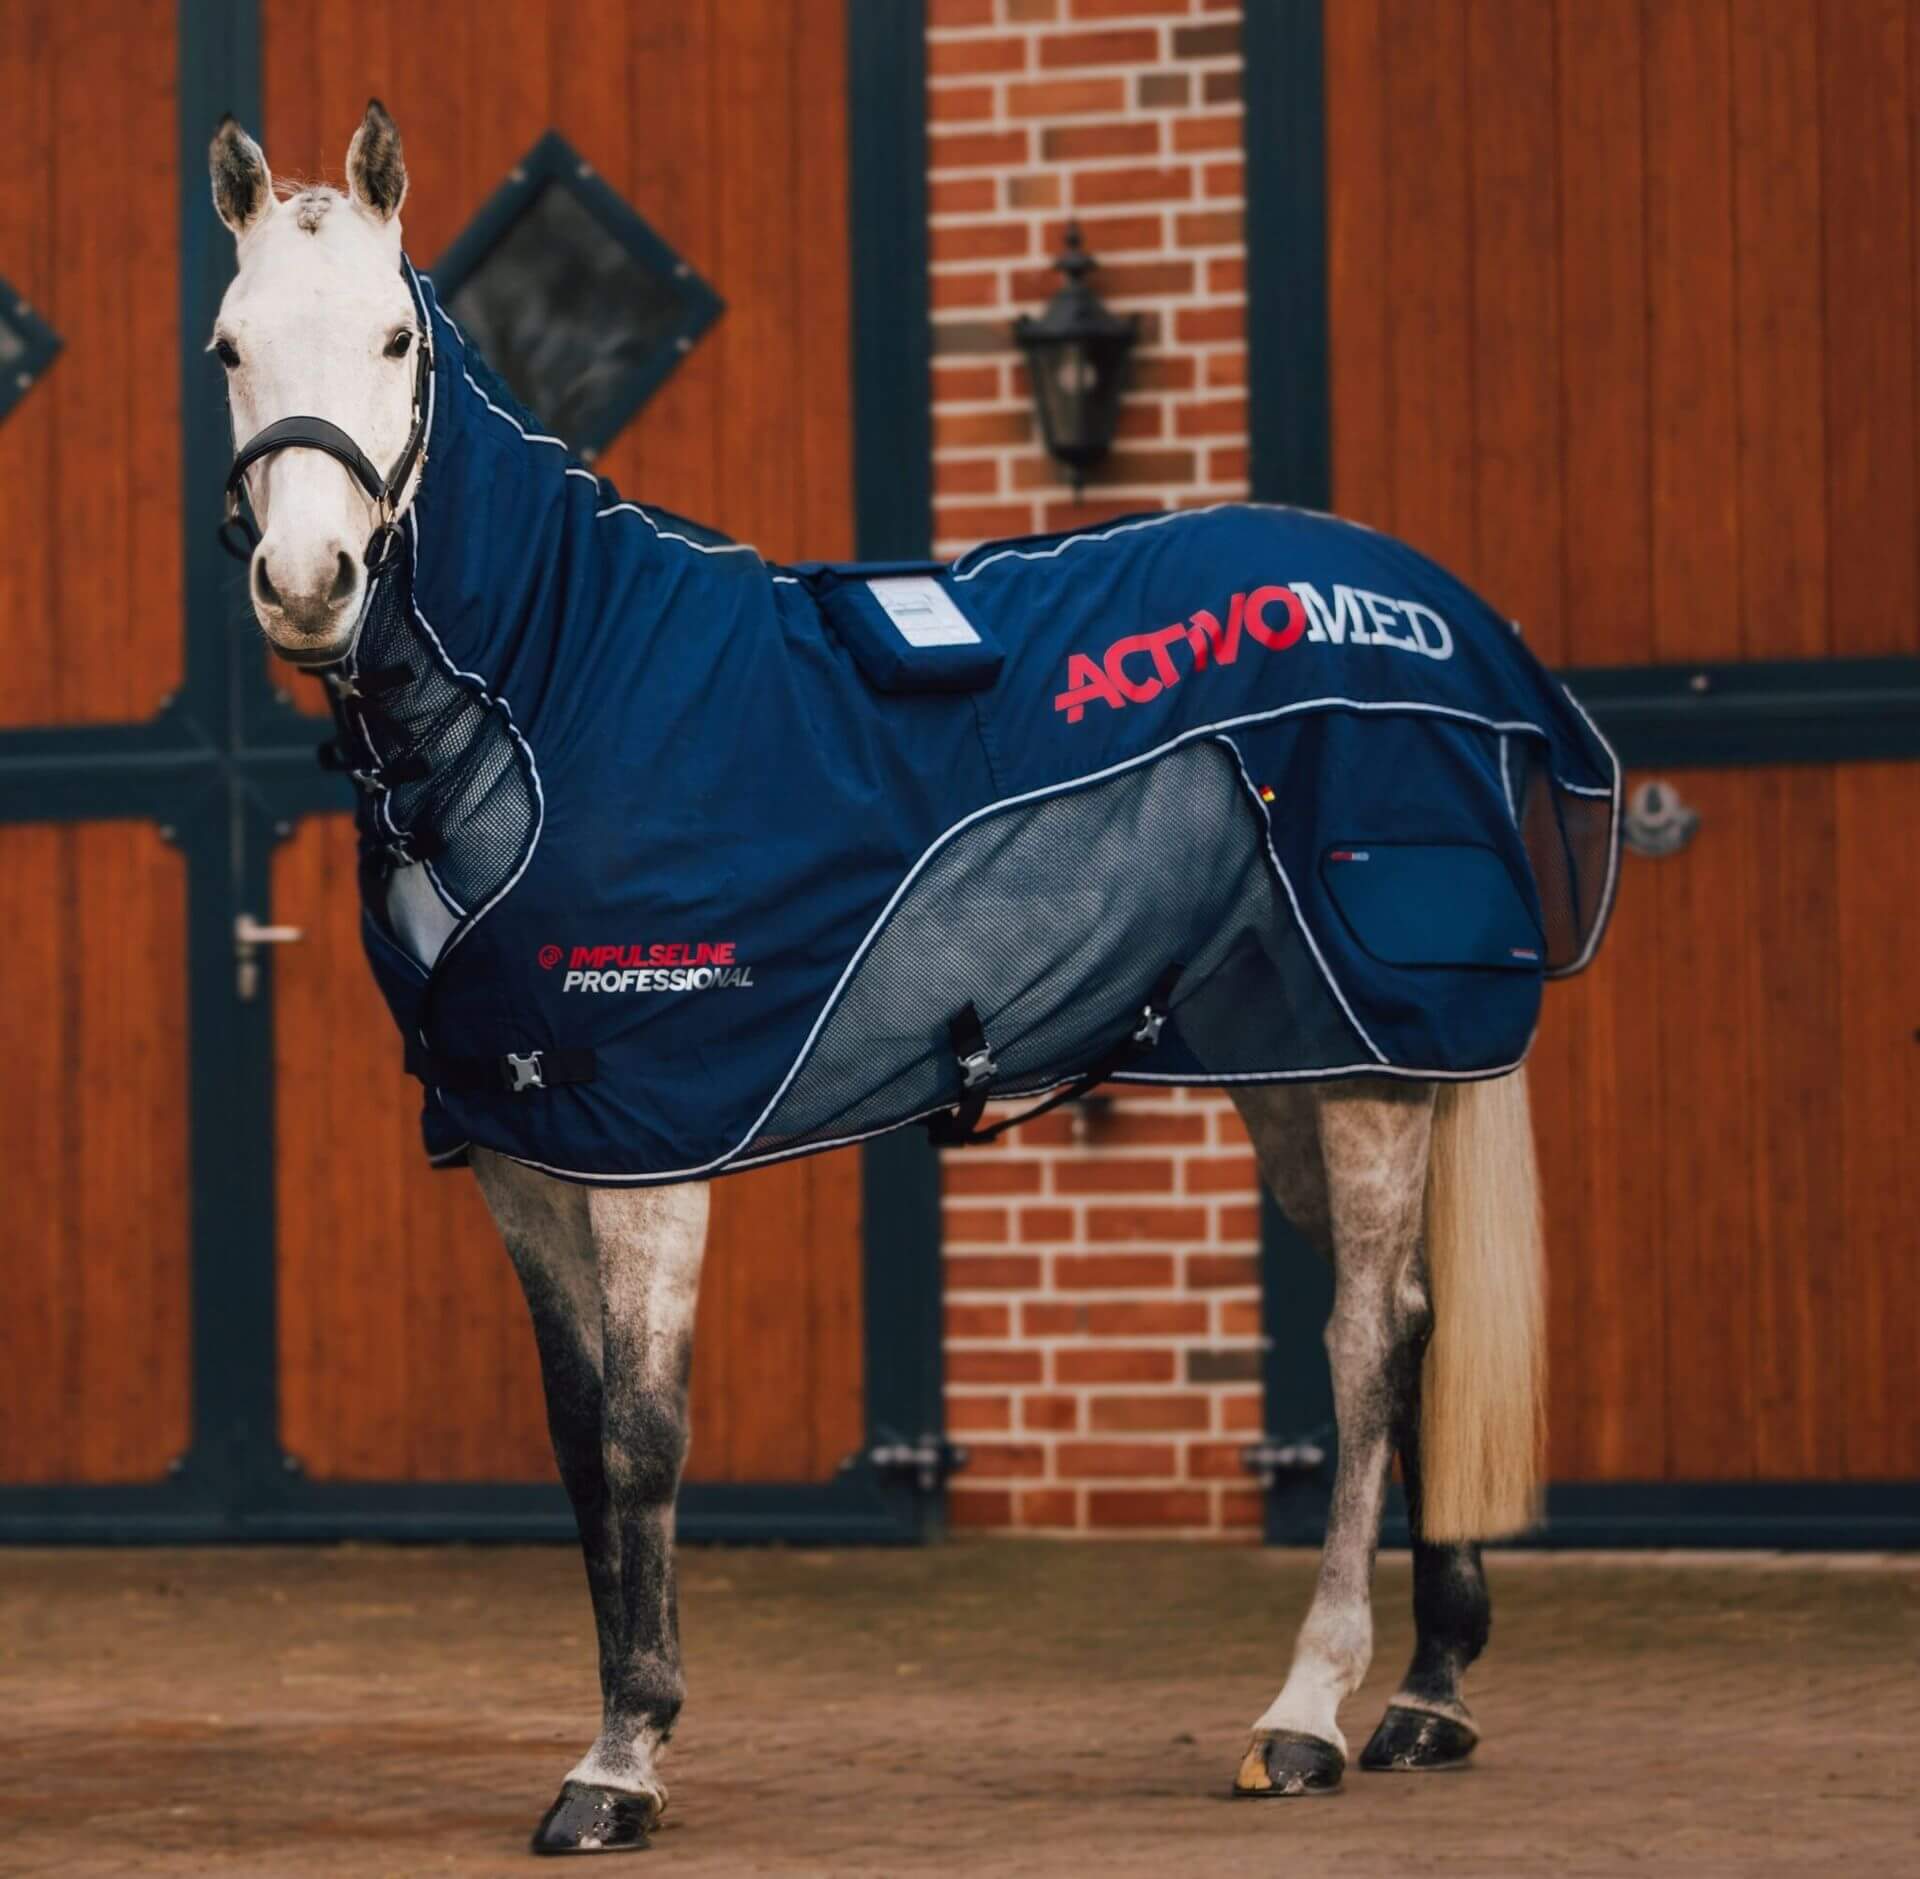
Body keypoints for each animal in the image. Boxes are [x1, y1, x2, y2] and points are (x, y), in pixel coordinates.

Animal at [208, 100, 1611, 1855]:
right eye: (230, 346)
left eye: (395, 338)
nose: (308, 581)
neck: (553, 693)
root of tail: (1449, 622)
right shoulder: (523, 1149)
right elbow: (579, 1443)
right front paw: (620, 1730)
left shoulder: (650, 1146)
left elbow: (646, 1436)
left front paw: (623, 1758)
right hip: (1297, 1065)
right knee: (1417, 1335)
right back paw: (1427, 1689)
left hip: (1371, 1069)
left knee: (1369, 1348)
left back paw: (1308, 1711)